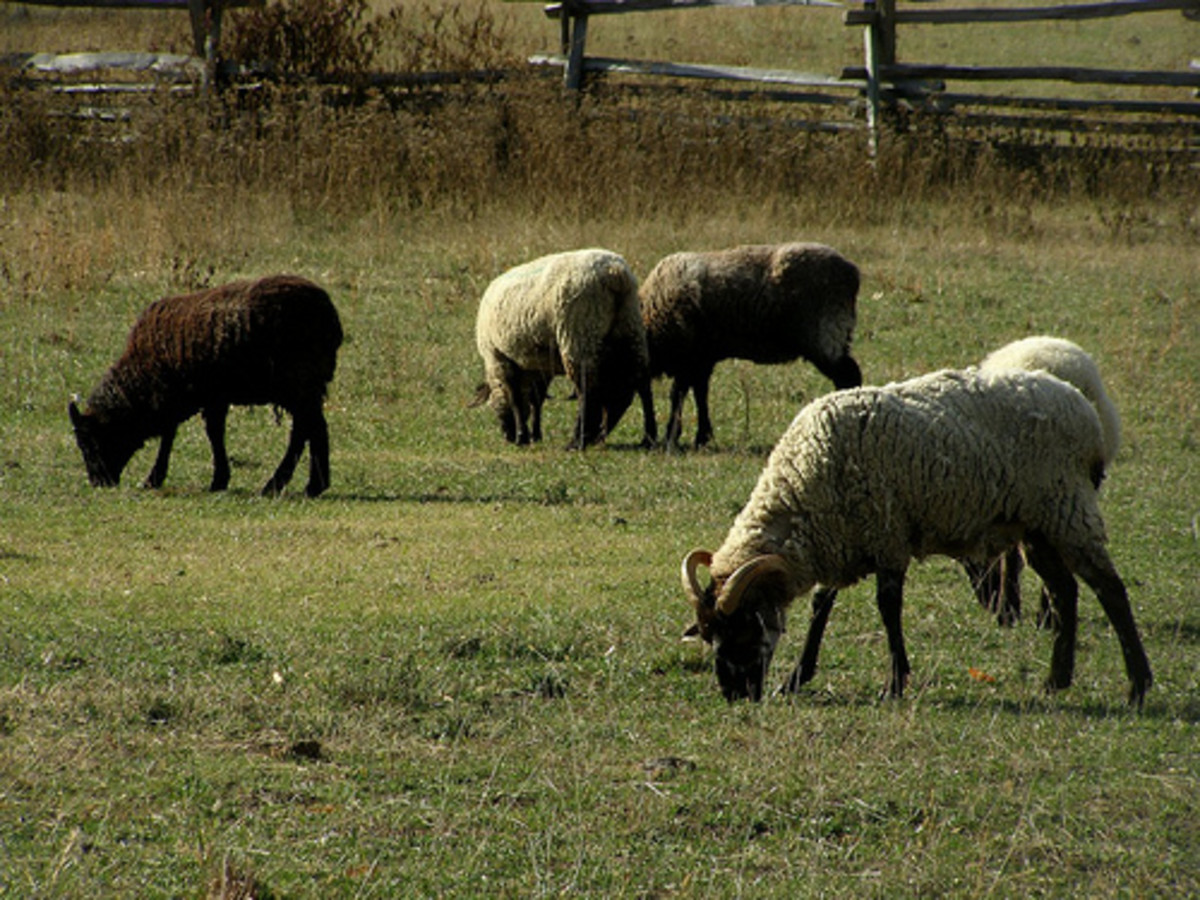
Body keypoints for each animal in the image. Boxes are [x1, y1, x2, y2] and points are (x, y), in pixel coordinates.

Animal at [69, 274, 343, 497]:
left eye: (91, 442)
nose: (98, 482)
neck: (141, 377)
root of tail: (330, 315)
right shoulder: (200, 398)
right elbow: (182, 433)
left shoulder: (198, 395)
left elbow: (200, 433)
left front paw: (166, 478)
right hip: (303, 385)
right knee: (308, 428)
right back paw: (305, 485)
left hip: (298, 381)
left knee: (309, 428)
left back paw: (293, 485)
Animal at [471, 248, 656, 449]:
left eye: (492, 407)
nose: (507, 436)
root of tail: (615, 273)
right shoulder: (540, 367)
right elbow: (537, 399)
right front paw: (535, 435)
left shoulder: (499, 358)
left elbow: (515, 400)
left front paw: (522, 436)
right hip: (630, 325)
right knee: (642, 384)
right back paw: (647, 437)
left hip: (579, 333)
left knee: (587, 391)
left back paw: (577, 441)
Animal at [639, 242, 862, 448]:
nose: (646, 441)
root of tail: (852, 272)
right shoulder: (703, 358)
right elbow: (700, 393)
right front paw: (702, 436)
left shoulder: (689, 356)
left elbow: (677, 394)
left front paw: (672, 436)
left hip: (825, 335)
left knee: (848, 374)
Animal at [680, 367, 1152, 707]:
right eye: (707, 634)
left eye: (742, 628)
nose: (734, 694)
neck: (802, 482)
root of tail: (1084, 409)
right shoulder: (842, 540)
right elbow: (820, 607)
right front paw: (797, 678)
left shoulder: (888, 538)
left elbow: (888, 609)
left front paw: (894, 684)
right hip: (1036, 525)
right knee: (1065, 590)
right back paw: (1058, 679)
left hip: (1067, 508)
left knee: (1109, 589)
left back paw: (1138, 685)